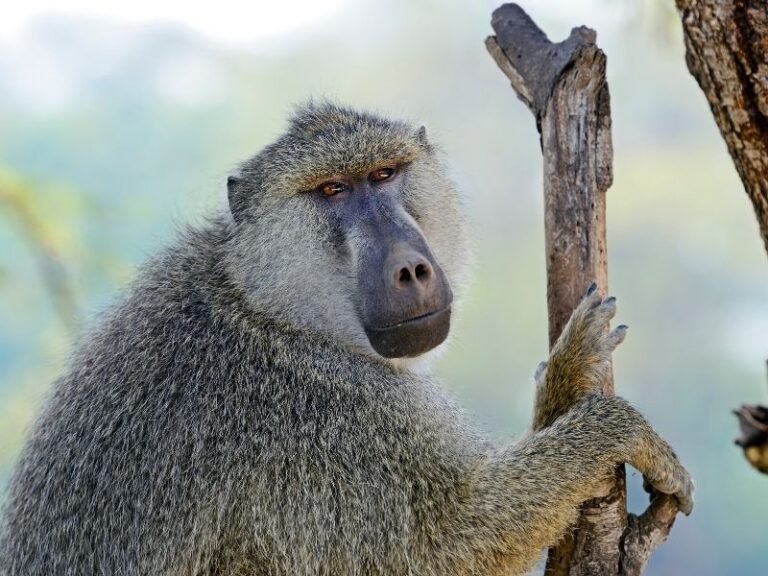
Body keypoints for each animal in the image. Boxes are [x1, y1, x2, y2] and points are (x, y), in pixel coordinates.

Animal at [0, 102, 693, 576]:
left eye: (384, 175)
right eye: (332, 190)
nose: (410, 268)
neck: (267, 305)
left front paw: (568, 375)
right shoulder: (332, 416)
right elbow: (450, 546)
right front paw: (601, 418)